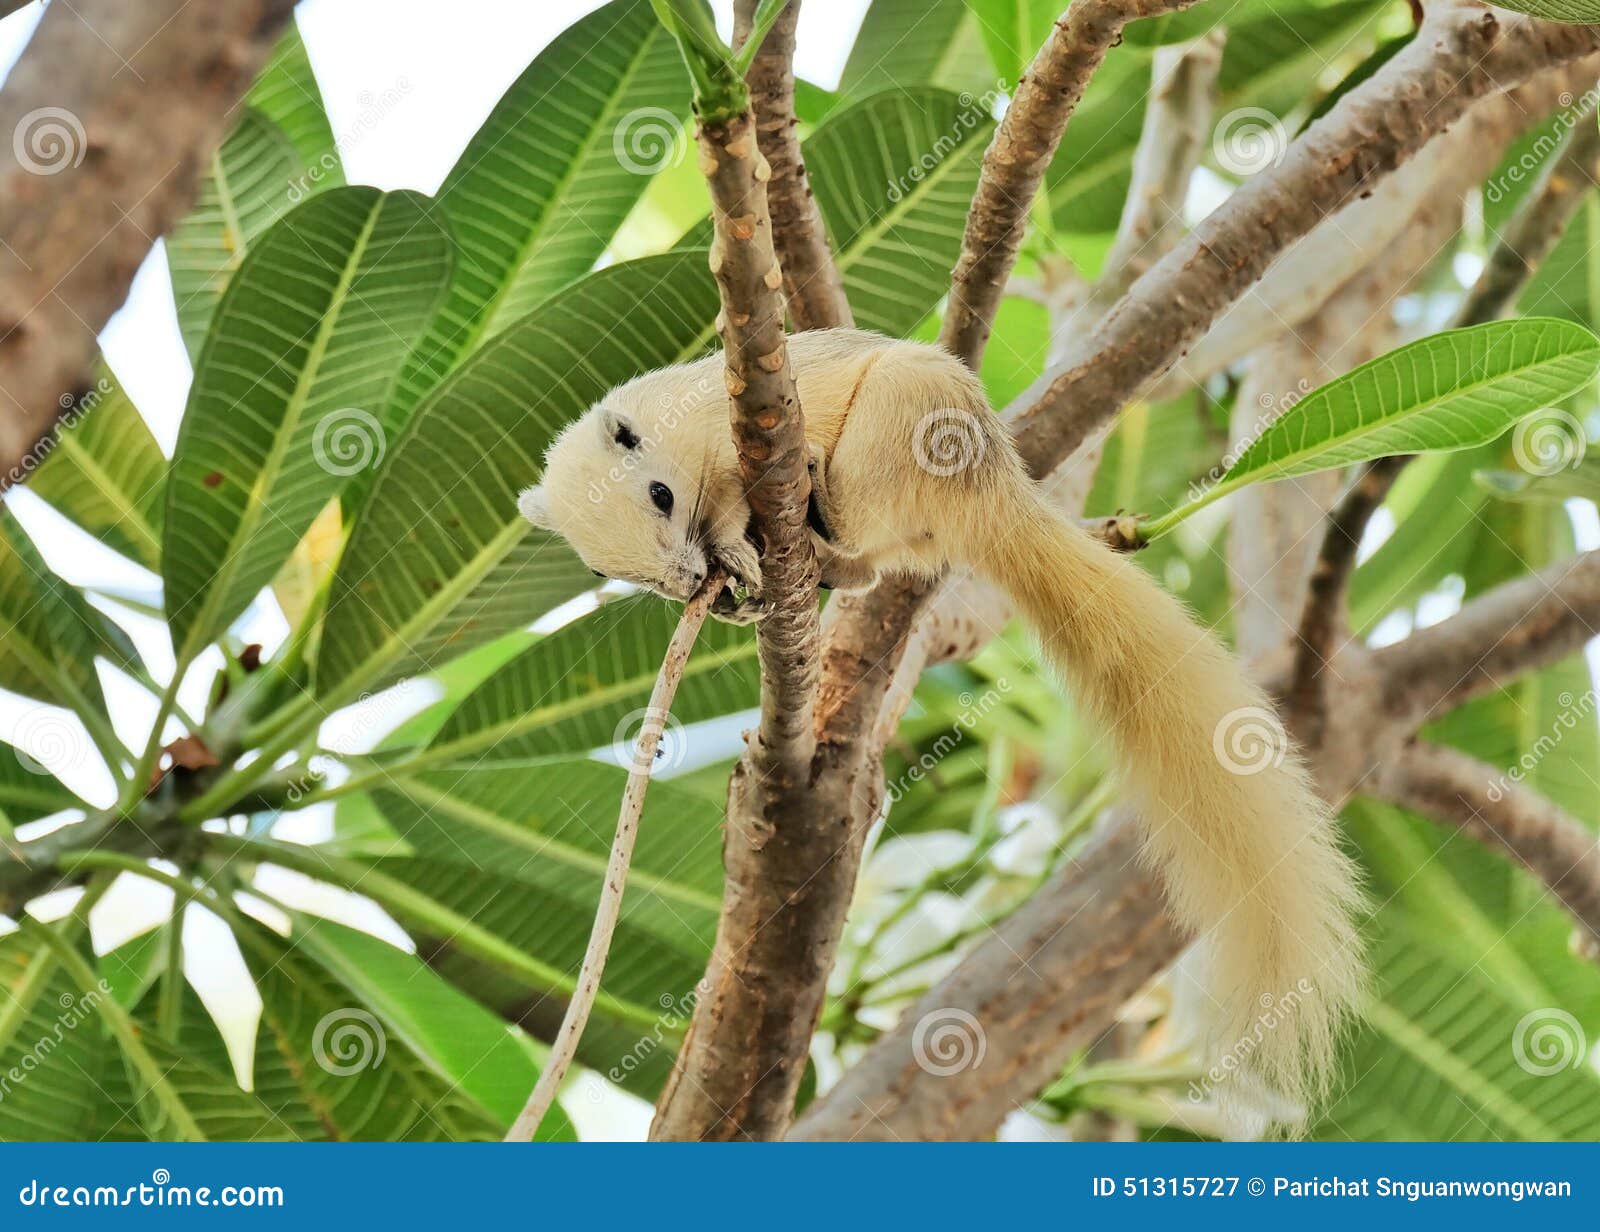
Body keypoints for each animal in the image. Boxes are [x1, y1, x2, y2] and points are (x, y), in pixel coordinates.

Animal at [519, 326, 1364, 1112]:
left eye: (660, 496)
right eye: (600, 569)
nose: (687, 577)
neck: (682, 419)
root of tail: (999, 491)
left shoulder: (736, 443)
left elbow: (729, 504)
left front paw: (736, 553)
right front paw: (730, 595)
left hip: (897, 427)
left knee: (858, 515)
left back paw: (813, 496)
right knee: (869, 566)